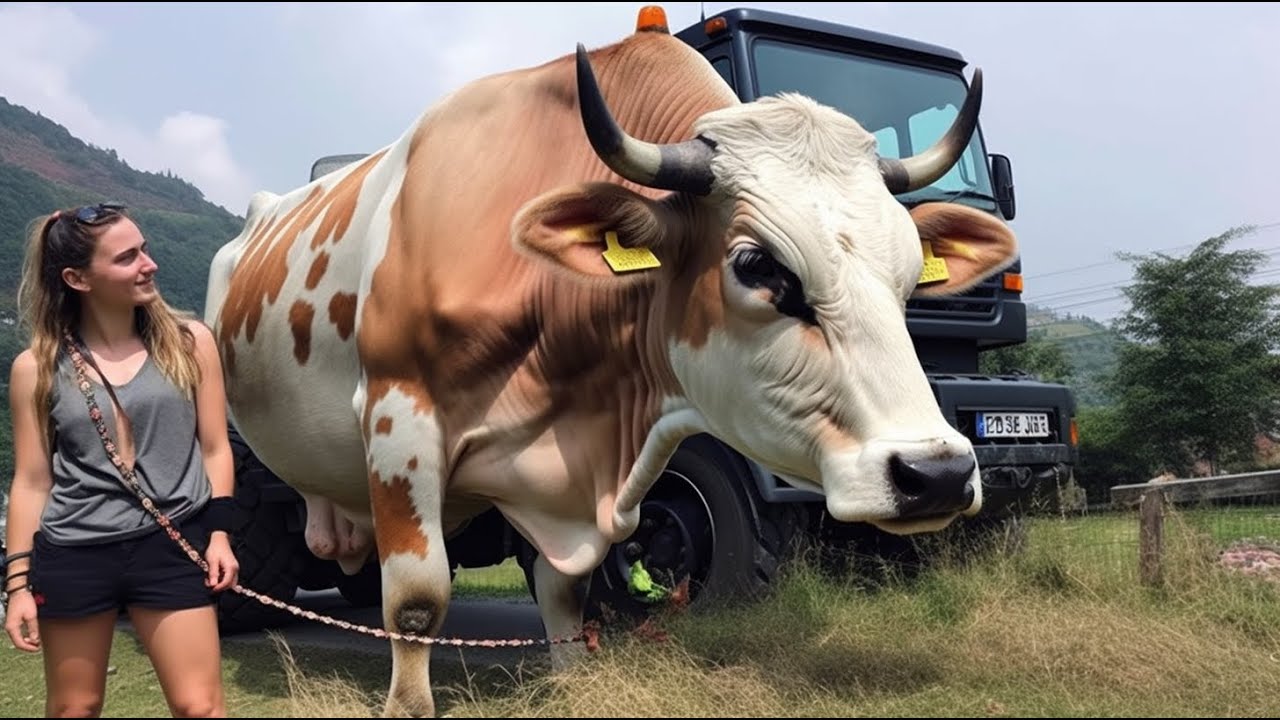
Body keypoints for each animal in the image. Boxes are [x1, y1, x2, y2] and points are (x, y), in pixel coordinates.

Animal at [203, 18, 1016, 719]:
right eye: (759, 266)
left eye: (911, 273)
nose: (938, 472)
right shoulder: (398, 414)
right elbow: (417, 596)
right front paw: (408, 706)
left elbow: (562, 587)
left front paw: (570, 679)